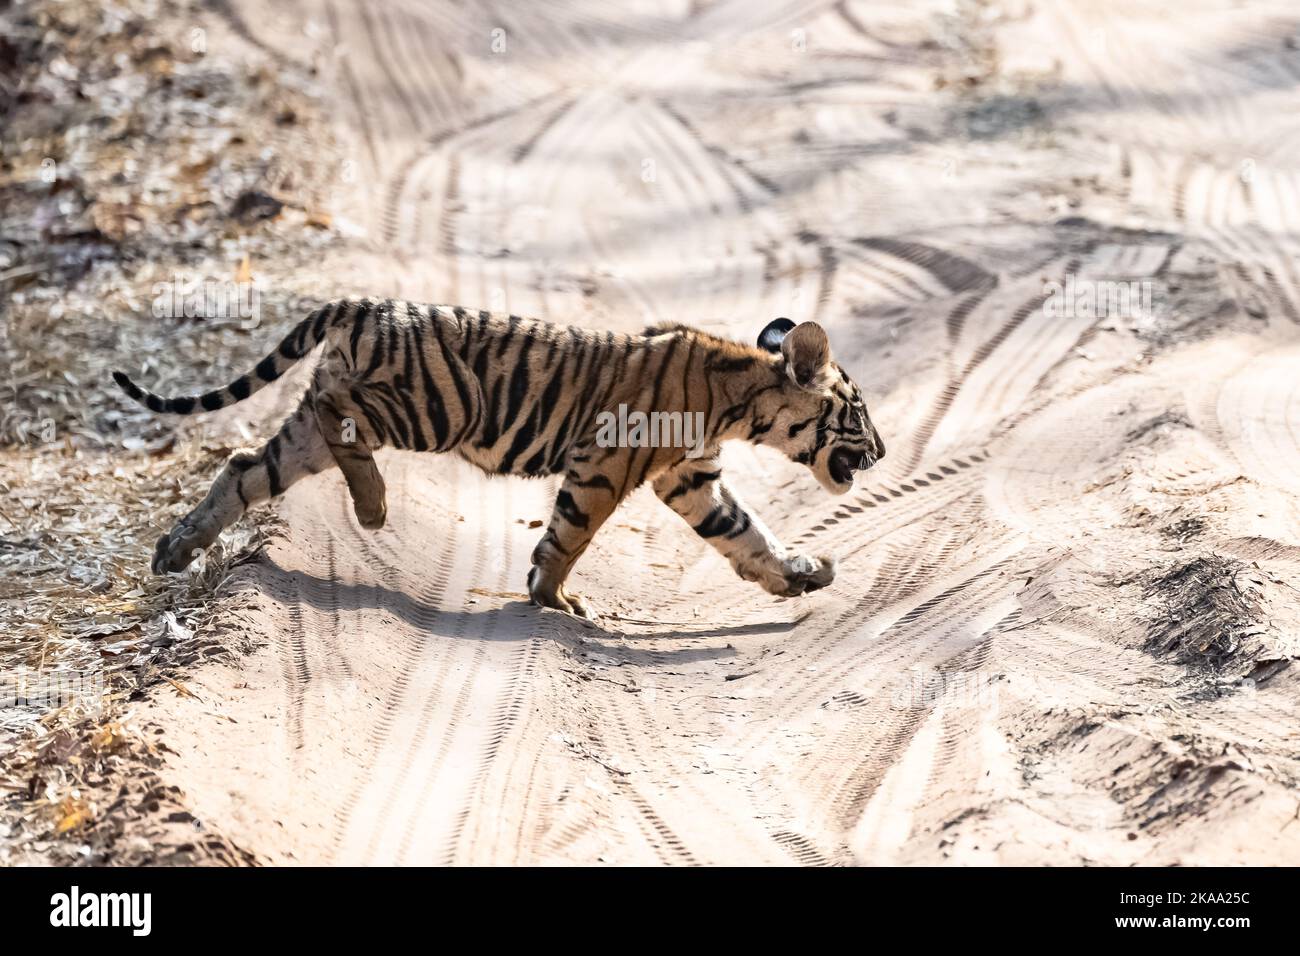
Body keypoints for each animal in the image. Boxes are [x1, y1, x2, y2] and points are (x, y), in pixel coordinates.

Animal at [113, 300, 885, 618]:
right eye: (860, 412)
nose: (881, 451)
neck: (742, 397)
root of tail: (364, 304)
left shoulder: (692, 479)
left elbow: (748, 536)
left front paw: (800, 575)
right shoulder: (607, 466)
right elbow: (570, 536)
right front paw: (556, 600)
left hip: (324, 426)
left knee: (249, 463)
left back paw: (175, 550)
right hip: (434, 408)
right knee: (338, 416)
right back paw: (373, 505)